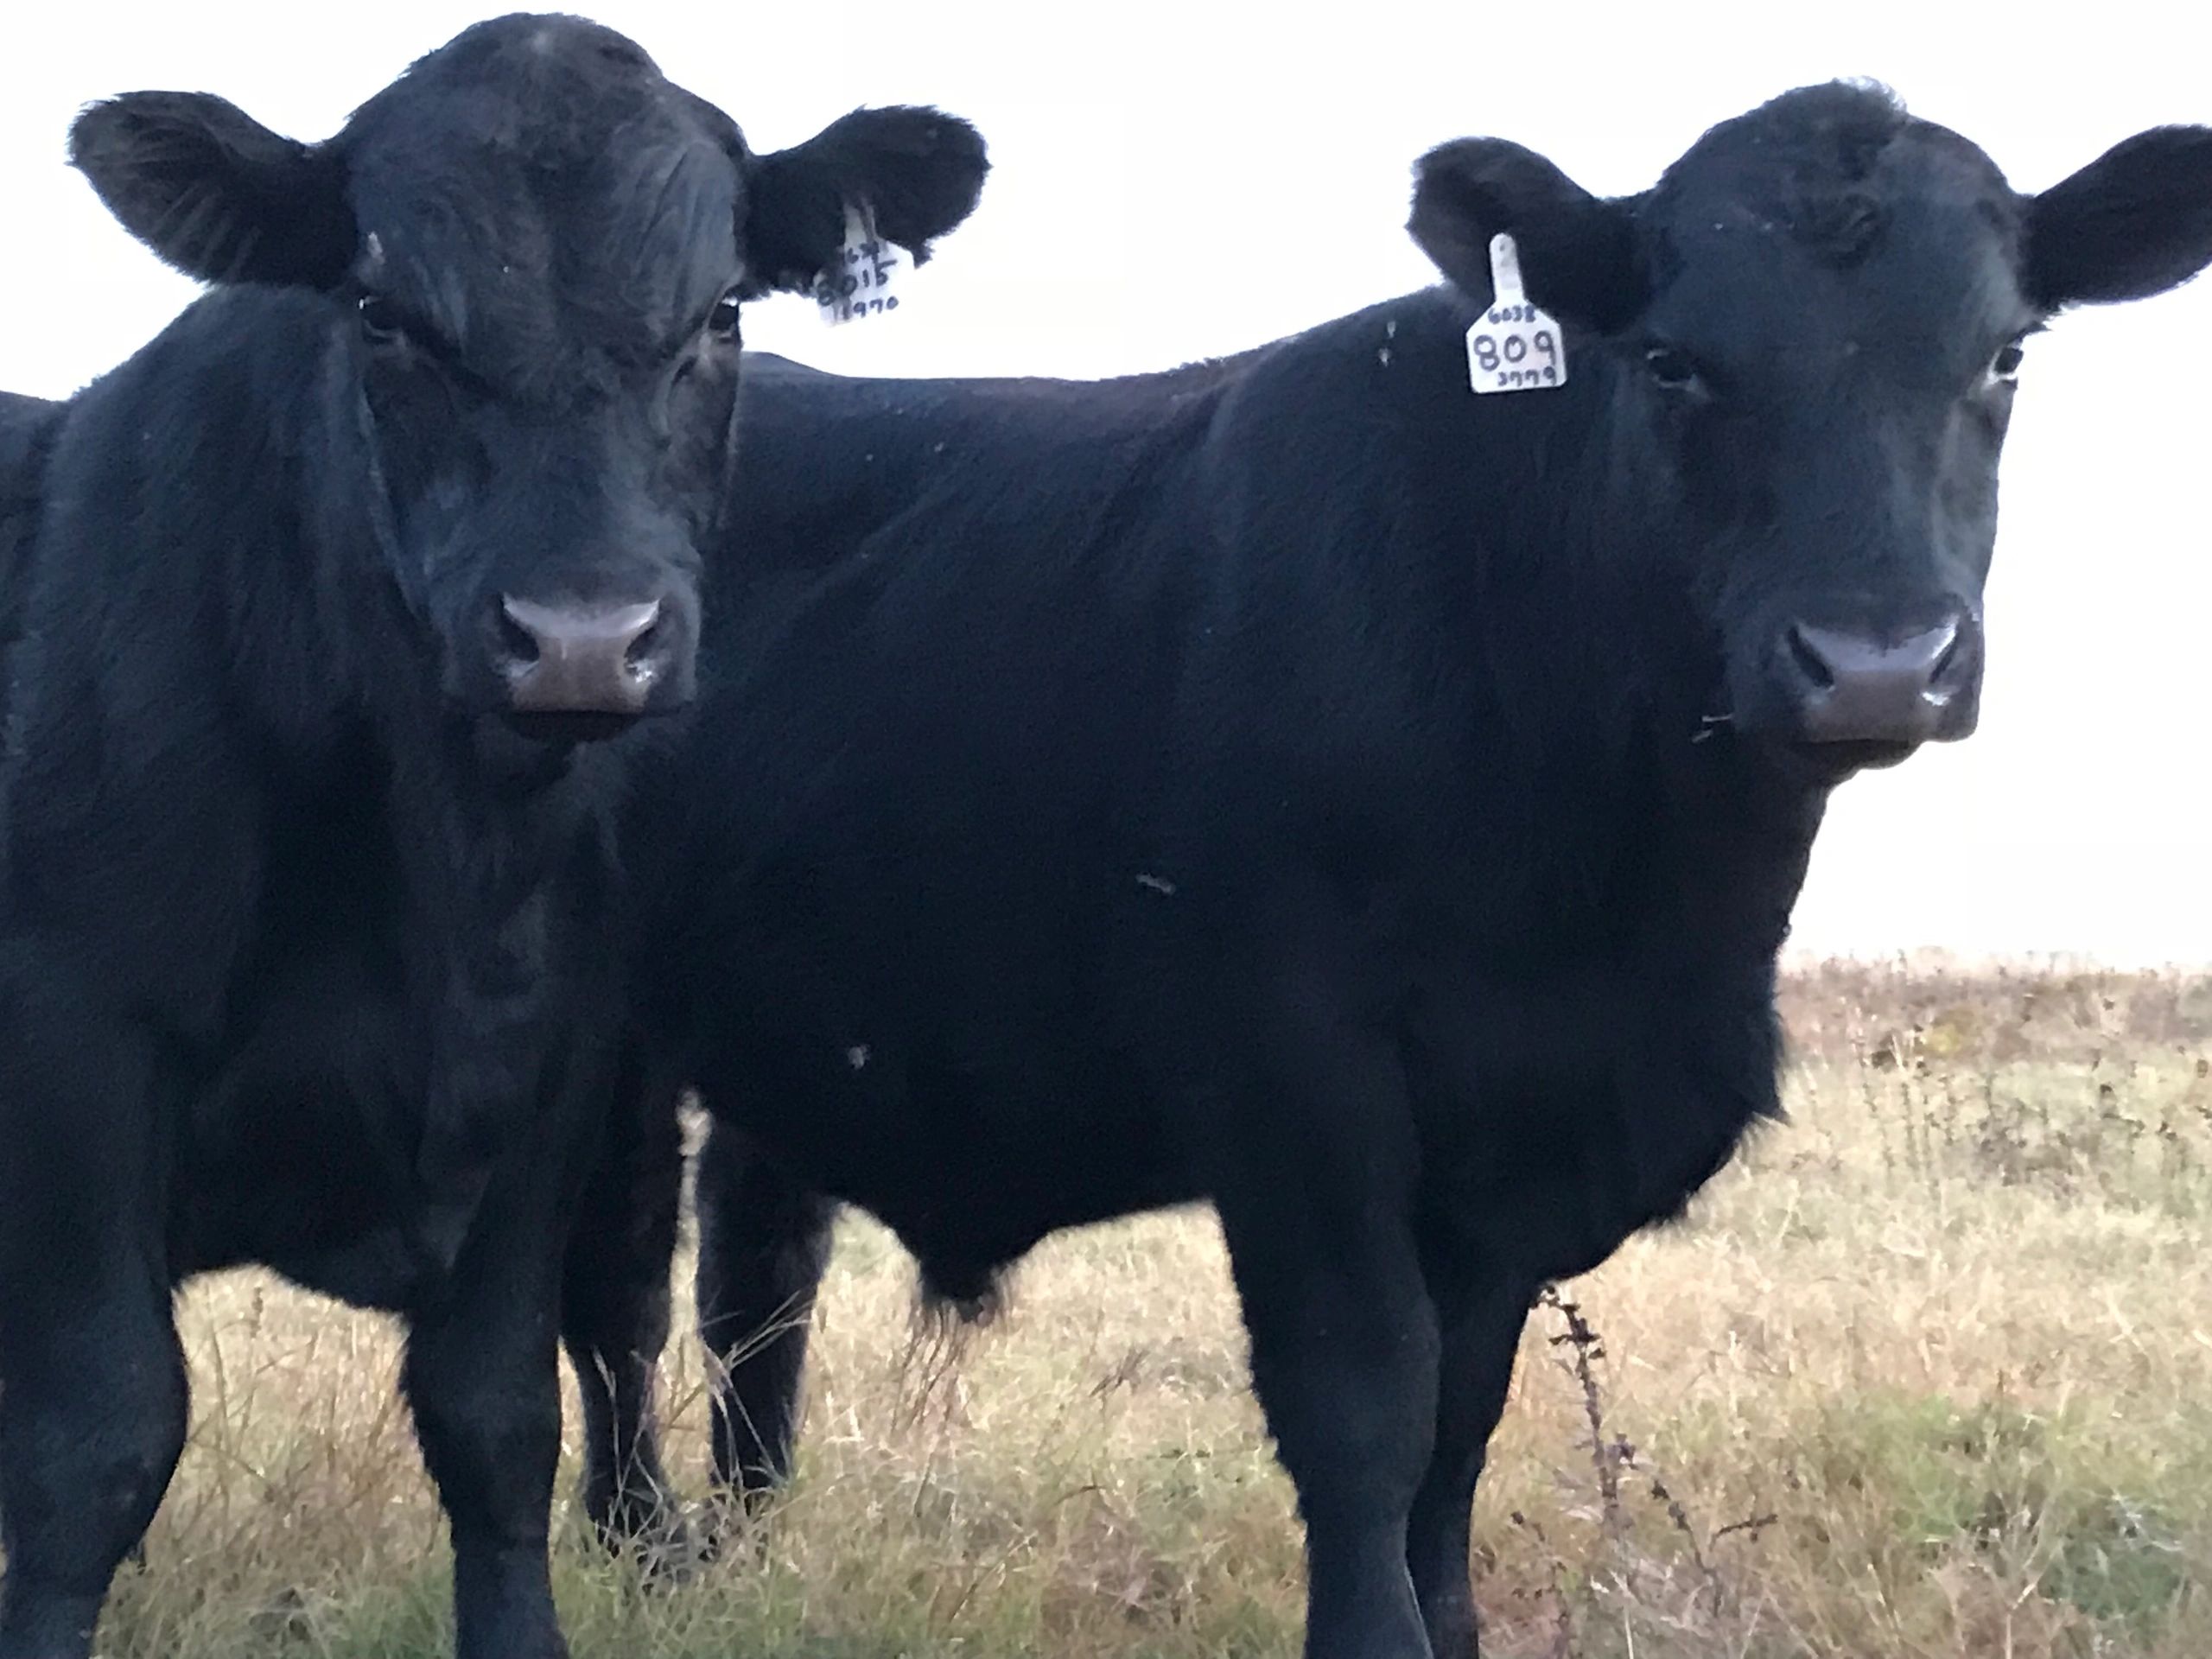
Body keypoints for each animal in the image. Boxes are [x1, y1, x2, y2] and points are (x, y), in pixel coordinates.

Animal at [0, 15, 985, 1659]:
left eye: (720, 314)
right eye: (384, 317)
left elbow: (500, 1411)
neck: (436, 867)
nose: (583, 641)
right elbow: (99, 1437)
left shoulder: (555, 1068)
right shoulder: (79, 1044)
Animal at [569, 84, 2212, 1659]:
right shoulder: (1298, 1077)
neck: (1629, 916)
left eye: (2004, 358)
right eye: (1673, 363)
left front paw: (1455, 1627)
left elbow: (1460, 1423)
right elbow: (1365, 1399)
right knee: (618, 1291)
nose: (1876, 662)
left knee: (754, 1273)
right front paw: (1374, 1635)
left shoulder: (1511, 1145)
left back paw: (737, 1550)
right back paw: (637, 1547)